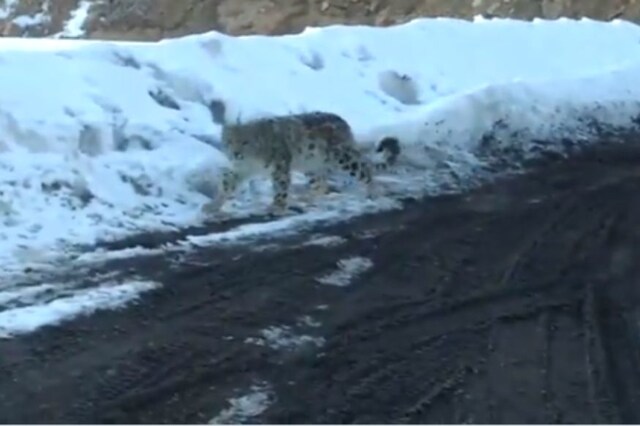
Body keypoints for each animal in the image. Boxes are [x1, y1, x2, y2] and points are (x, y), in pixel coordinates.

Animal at [209, 111, 401, 215]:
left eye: (245, 142)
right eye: (229, 141)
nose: (236, 153)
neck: (251, 161)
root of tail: (344, 123)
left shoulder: (279, 166)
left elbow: (280, 187)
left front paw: (277, 206)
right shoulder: (241, 169)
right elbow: (227, 183)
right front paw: (212, 206)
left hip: (343, 159)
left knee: (365, 169)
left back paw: (373, 193)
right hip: (312, 165)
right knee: (321, 184)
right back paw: (306, 198)